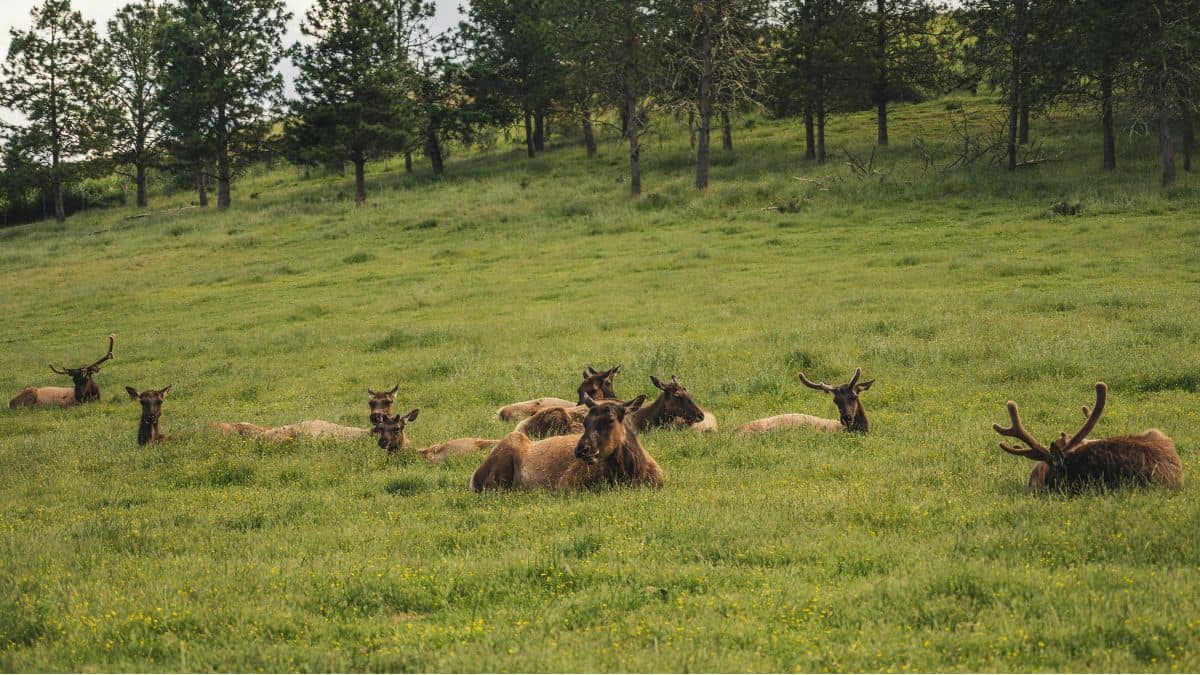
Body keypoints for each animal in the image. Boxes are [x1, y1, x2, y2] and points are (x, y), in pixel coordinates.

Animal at [471, 394, 663, 491]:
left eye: (610, 419)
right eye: (585, 421)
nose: (582, 450)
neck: (632, 474)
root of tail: (473, 477)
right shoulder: (566, 485)